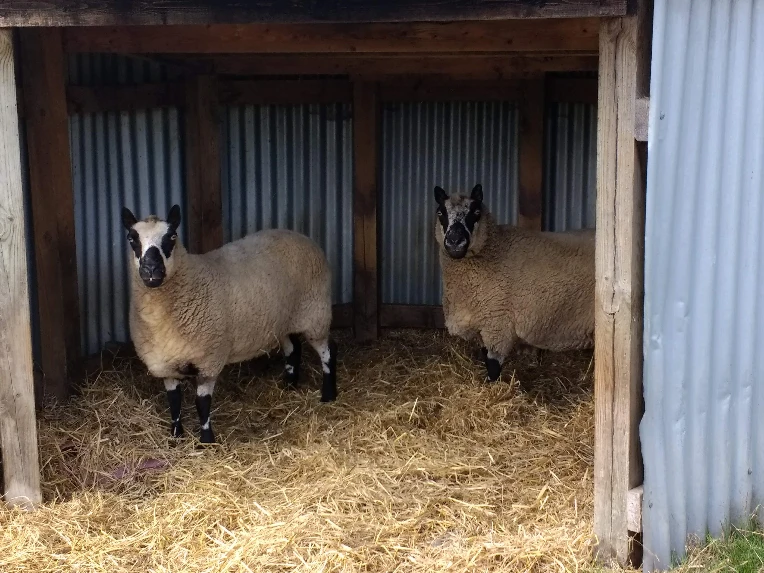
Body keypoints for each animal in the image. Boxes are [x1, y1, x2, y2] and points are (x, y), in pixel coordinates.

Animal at [121, 204, 337, 443]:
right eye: (132, 238)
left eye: (172, 236)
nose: (151, 270)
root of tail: (301, 236)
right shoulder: (167, 364)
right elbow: (174, 401)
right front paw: (176, 437)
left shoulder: (209, 360)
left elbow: (202, 404)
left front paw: (206, 441)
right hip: (283, 320)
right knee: (293, 349)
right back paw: (289, 386)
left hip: (315, 314)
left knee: (328, 351)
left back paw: (328, 395)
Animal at [433, 184, 594, 382]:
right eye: (440, 212)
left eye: (476, 212)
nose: (455, 241)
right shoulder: (482, 322)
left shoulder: (497, 321)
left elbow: (493, 366)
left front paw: (492, 387)